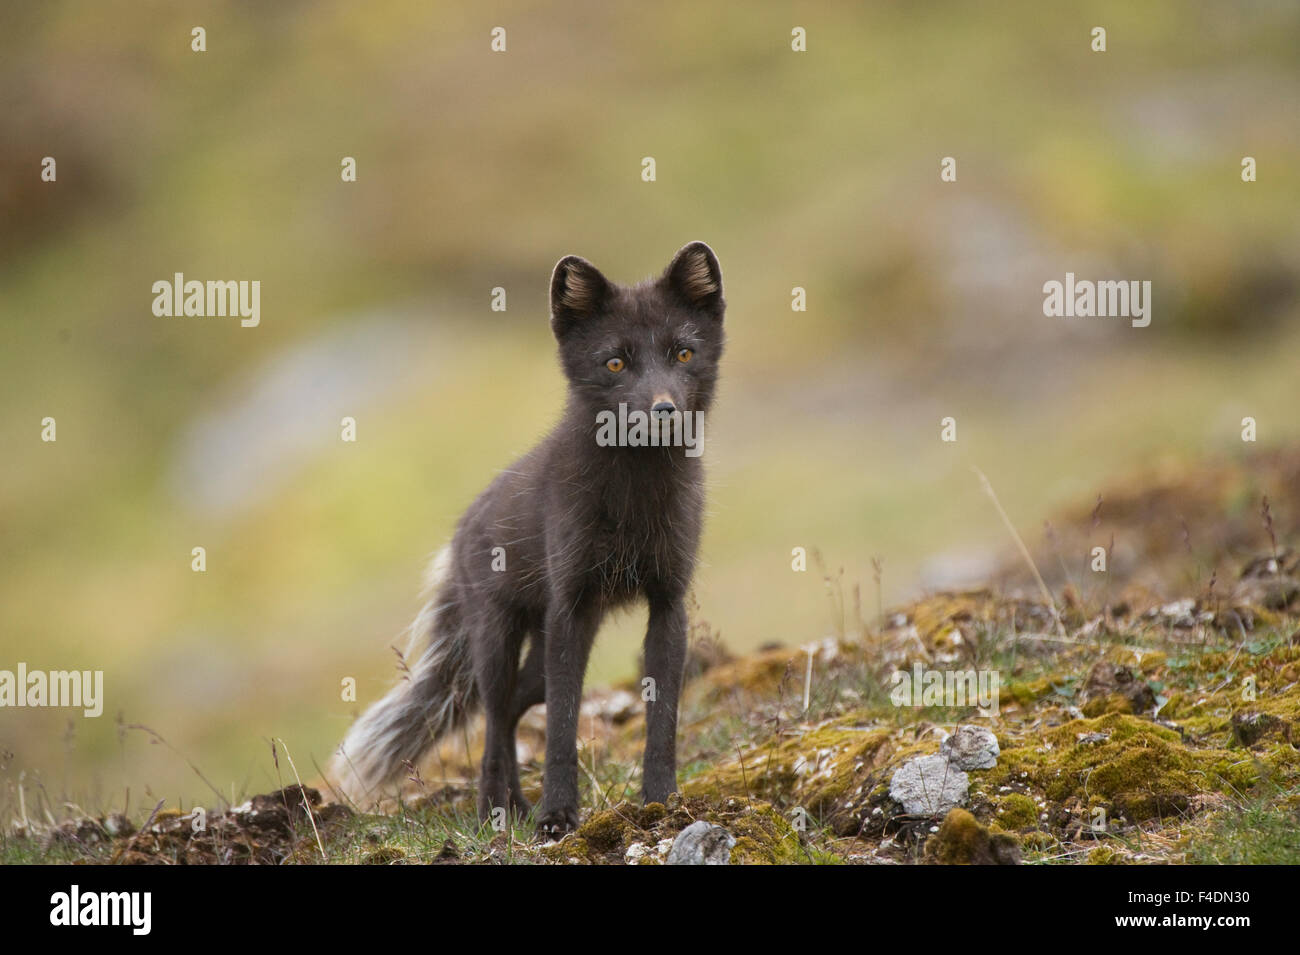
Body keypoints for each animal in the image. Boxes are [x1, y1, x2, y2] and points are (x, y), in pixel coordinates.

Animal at [330, 241, 725, 836]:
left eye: (683, 354)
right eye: (615, 363)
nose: (662, 411)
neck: (634, 499)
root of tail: (457, 536)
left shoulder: (667, 601)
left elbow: (663, 721)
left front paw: (662, 800)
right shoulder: (572, 603)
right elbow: (562, 726)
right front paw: (558, 816)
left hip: (544, 643)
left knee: (516, 704)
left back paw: (513, 806)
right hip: (500, 638)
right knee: (495, 719)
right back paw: (497, 810)